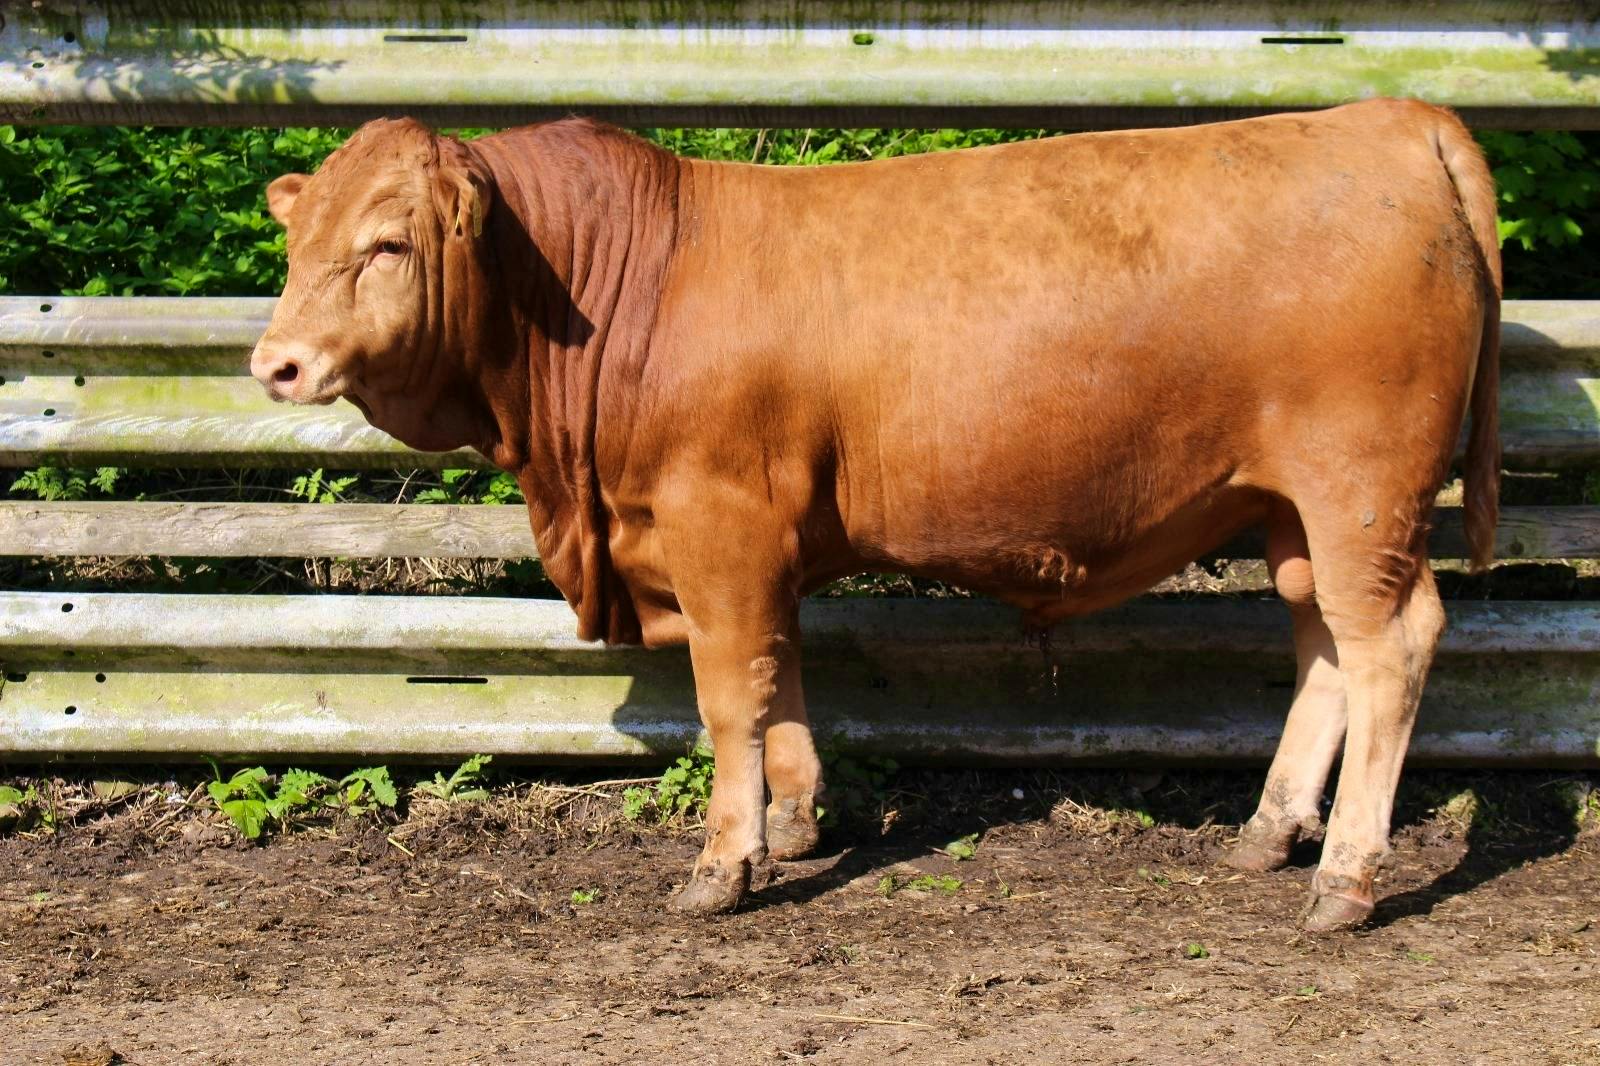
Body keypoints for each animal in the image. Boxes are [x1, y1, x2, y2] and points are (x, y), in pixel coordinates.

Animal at [250, 99, 1501, 931]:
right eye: (296, 242)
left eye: (387, 242)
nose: (275, 364)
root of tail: (1388, 115)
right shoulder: (762, 538)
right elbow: (782, 672)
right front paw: (799, 818)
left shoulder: (717, 522)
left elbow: (730, 693)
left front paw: (725, 861)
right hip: (1289, 505)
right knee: (1322, 642)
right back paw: (1268, 832)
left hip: (1360, 492)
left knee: (1389, 644)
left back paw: (1344, 878)